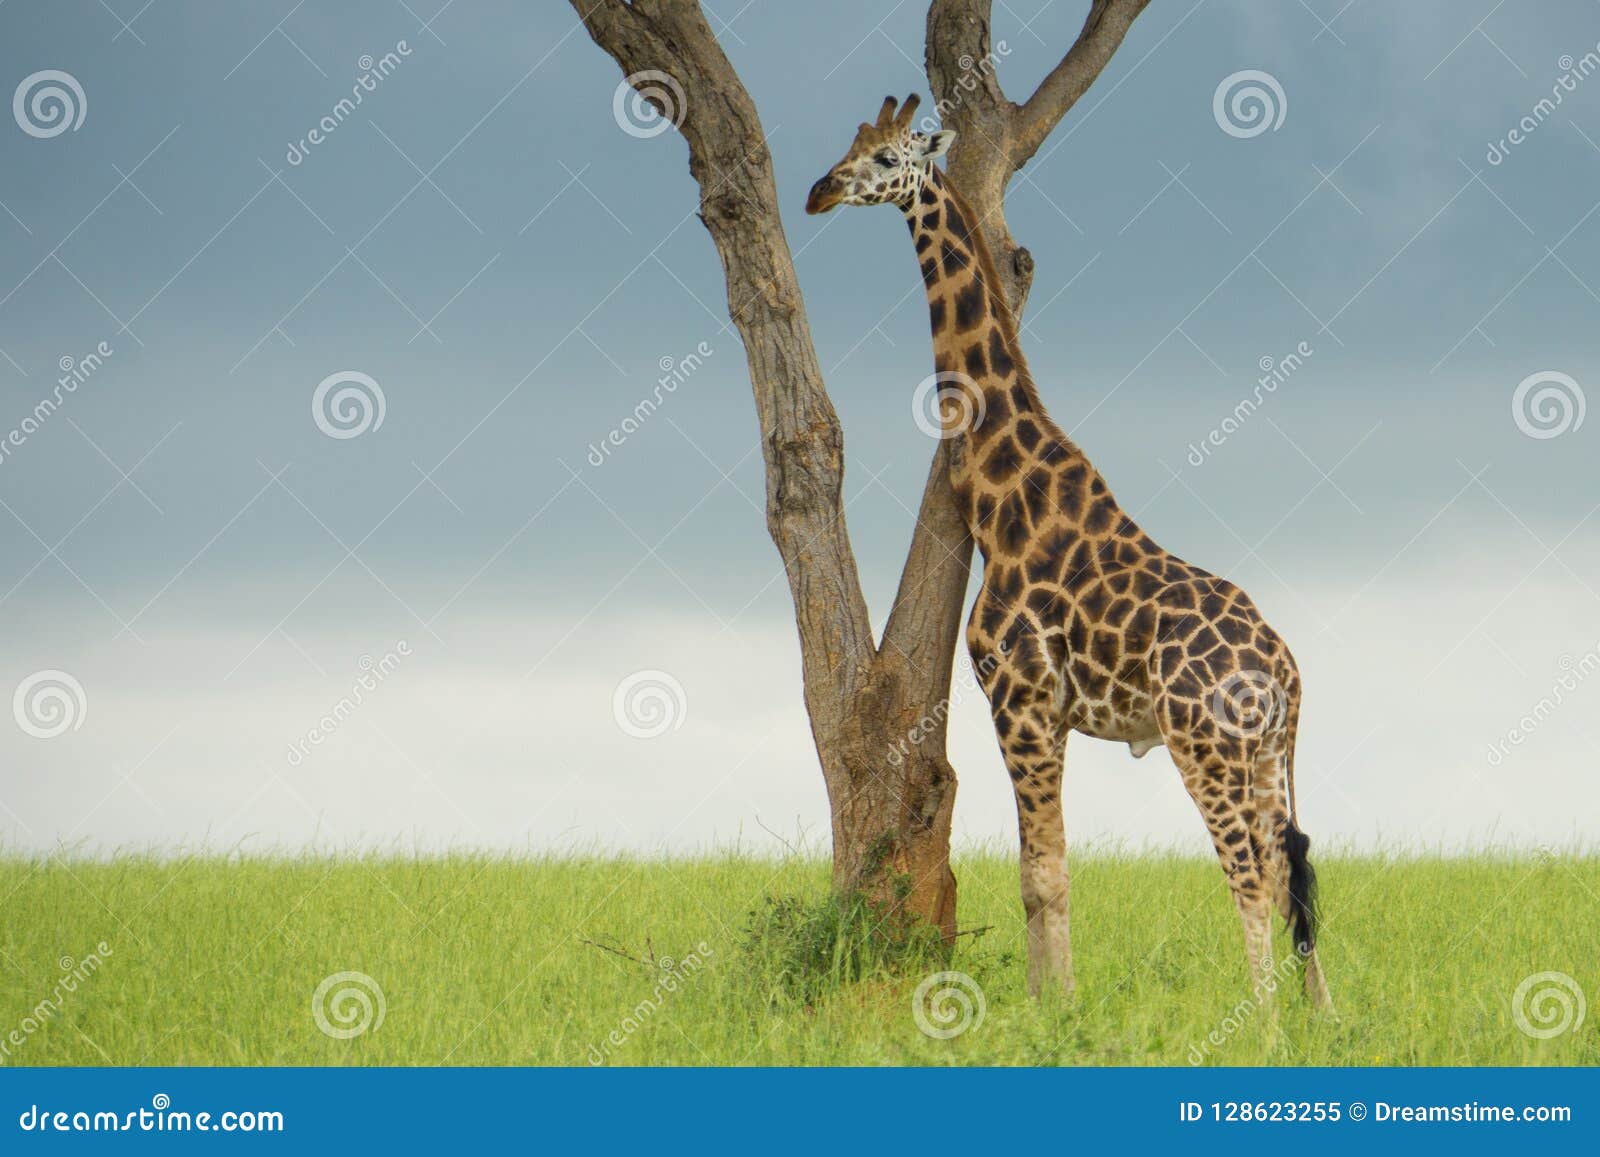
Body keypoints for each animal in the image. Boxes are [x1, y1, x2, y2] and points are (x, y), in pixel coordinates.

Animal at [807, 95, 1333, 1010]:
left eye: (884, 159)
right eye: (849, 148)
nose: (817, 191)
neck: (1002, 498)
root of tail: (1283, 670)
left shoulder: (1019, 698)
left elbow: (1043, 872)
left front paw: (1056, 1008)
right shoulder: (1042, 712)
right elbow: (1040, 870)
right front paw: (1049, 1004)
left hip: (1207, 744)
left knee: (1248, 872)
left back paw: (1262, 1021)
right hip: (1271, 751)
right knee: (1290, 863)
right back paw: (1324, 1020)